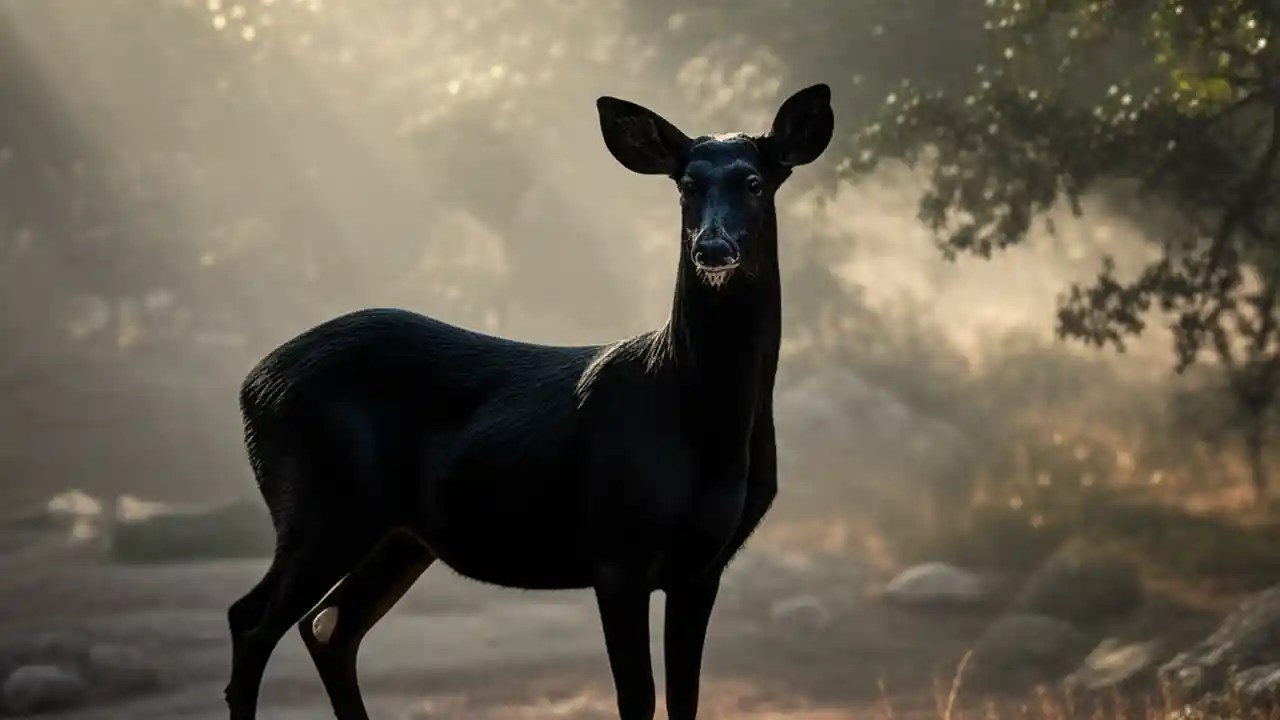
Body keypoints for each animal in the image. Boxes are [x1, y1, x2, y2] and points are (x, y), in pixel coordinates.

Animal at [224, 83, 833, 720]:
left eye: (755, 182)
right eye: (686, 184)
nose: (712, 247)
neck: (700, 422)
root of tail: (251, 386)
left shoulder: (703, 565)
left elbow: (685, 697)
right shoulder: (615, 547)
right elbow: (637, 696)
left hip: (398, 533)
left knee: (330, 626)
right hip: (322, 500)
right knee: (253, 619)